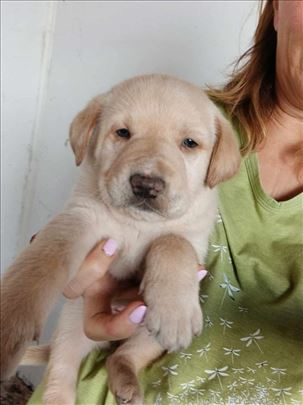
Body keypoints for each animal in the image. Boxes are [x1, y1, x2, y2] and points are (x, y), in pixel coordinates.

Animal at [1, 74, 241, 402]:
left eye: (189, 143)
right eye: (123, 133)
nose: (146, 184)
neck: (138, 224)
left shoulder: (193, 239)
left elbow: (173, 243)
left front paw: (174, 311)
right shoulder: (82, 217)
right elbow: (46, 256)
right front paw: (11, 320)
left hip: (148, 338)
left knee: (122, 357)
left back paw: (127, 384)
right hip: (72, 326)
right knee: (60, 370)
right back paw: (61, 394)